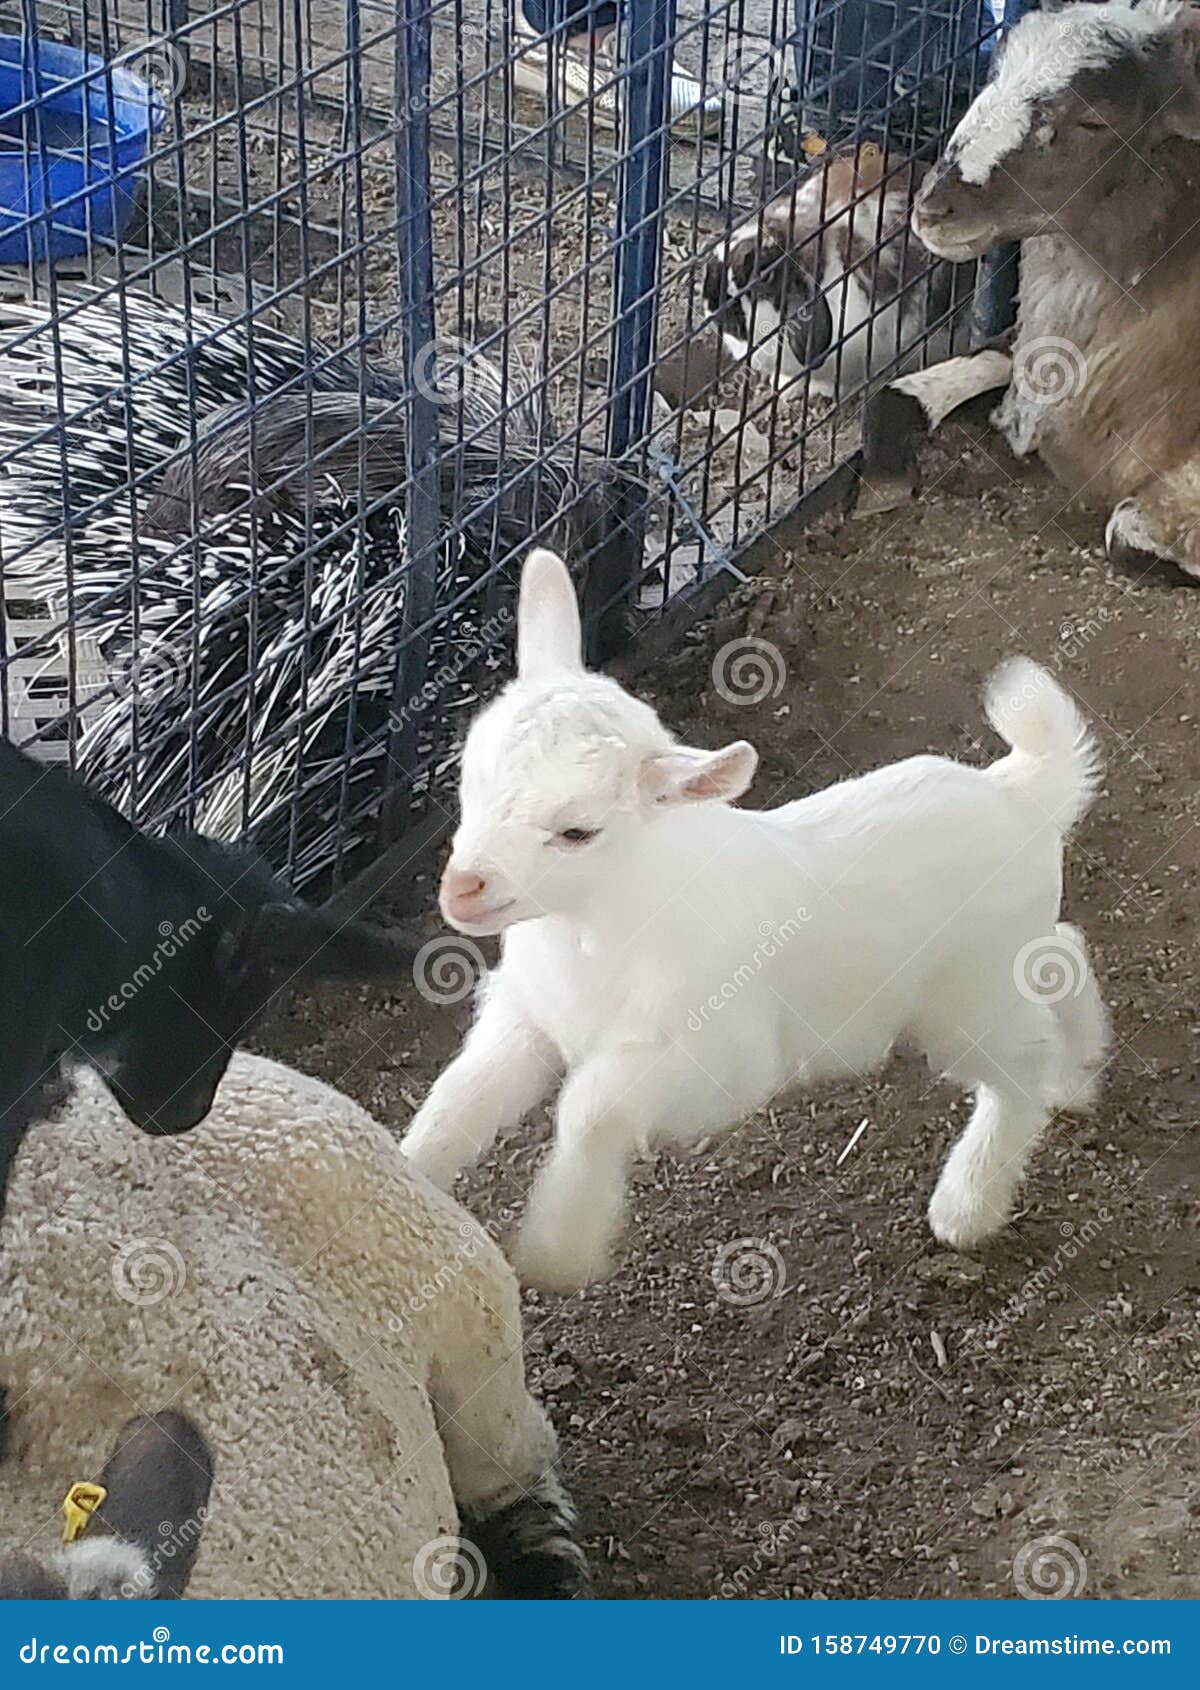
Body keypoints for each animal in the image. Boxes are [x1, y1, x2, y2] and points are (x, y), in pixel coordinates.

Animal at [402, 549, 1109, 1292]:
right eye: (470, 779)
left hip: (965, 999)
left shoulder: (722, 1059)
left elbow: (590, 1104)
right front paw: (403, 1181)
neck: (596, 931)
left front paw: (557, 1248)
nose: (463, 888)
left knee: (1021, 1060)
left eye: (576, 832)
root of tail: (1019, 791)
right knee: (1062, 952)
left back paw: (969, 1202)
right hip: (1001, 965)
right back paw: (1080, 1074)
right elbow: (458, 1099)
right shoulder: (525, 1015)